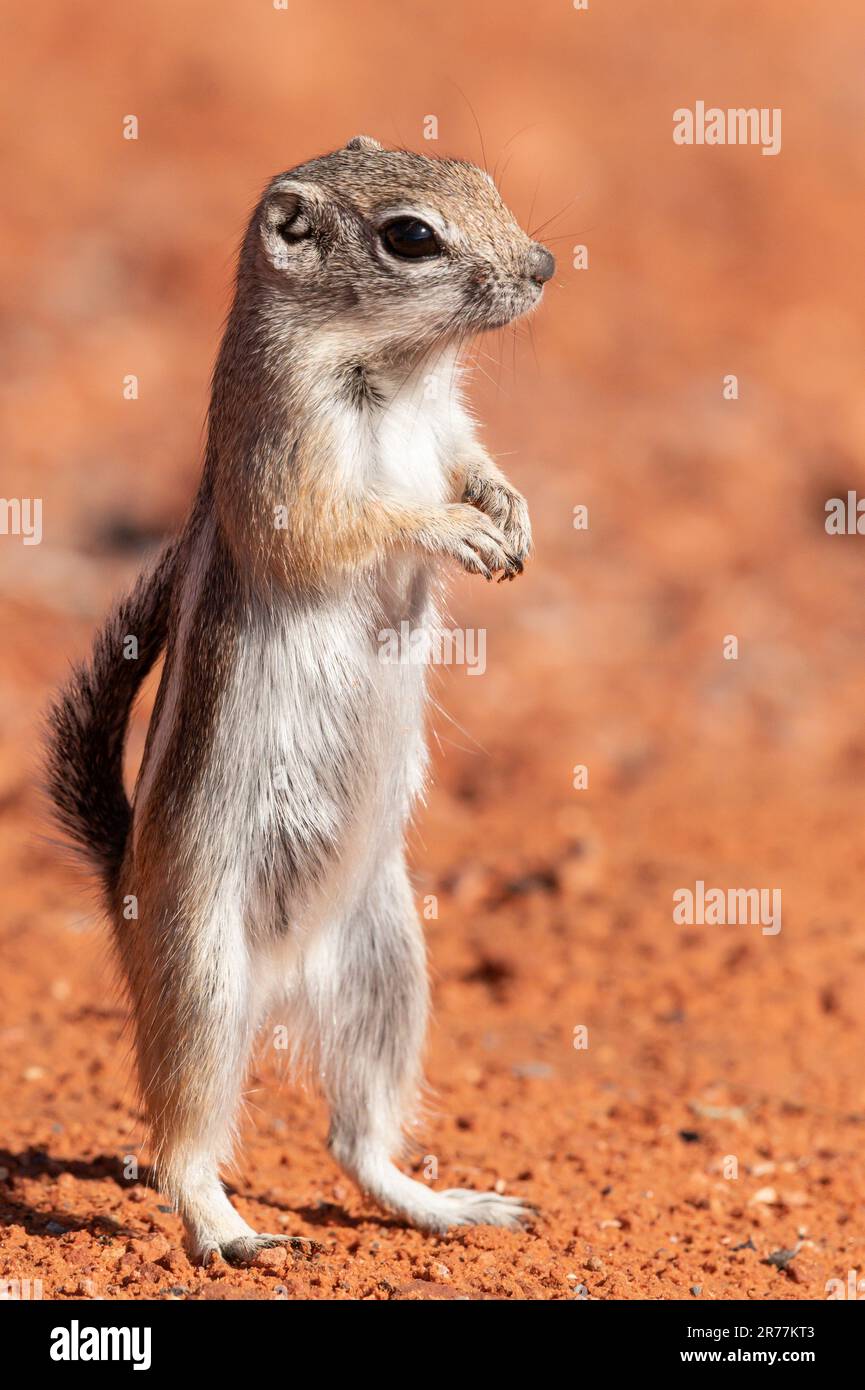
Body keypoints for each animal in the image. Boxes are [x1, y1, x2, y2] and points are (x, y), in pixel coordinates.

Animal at [44, 135, 555, 1264]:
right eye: (410, 236)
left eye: (483, 181)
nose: (544, 265)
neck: (398, 373)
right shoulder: (288, 462)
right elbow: (349, 526)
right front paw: (457, 530)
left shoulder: (448, 425)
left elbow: (471, 460)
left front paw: (510, 510)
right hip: (202, 970)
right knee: (183, 1141)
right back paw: (230, 1231)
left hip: (387, 966)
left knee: (354, 1140)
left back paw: (445, 1205)